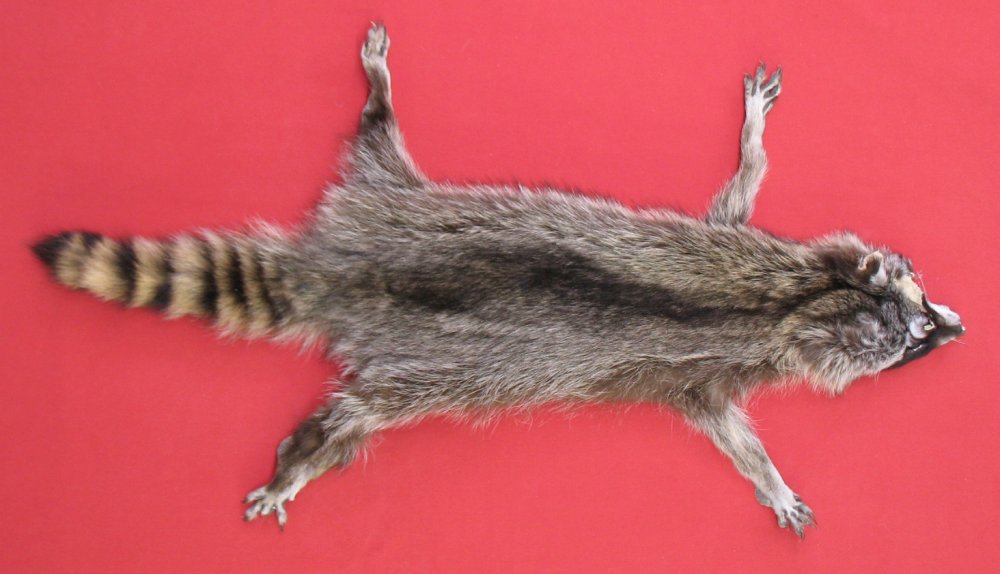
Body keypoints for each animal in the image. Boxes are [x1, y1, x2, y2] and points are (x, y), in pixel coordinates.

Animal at [31, 24, 965, 538]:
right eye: (913, 339)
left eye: (917, 308)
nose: (957, 327)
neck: (806, 302)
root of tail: (342, 269)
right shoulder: (717, 345)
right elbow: (731, 428)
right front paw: (771, 481)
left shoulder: (751, 257)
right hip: (413, 361)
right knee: (356, 415)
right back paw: (303, 457)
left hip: (392, 201)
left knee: (374, 155)